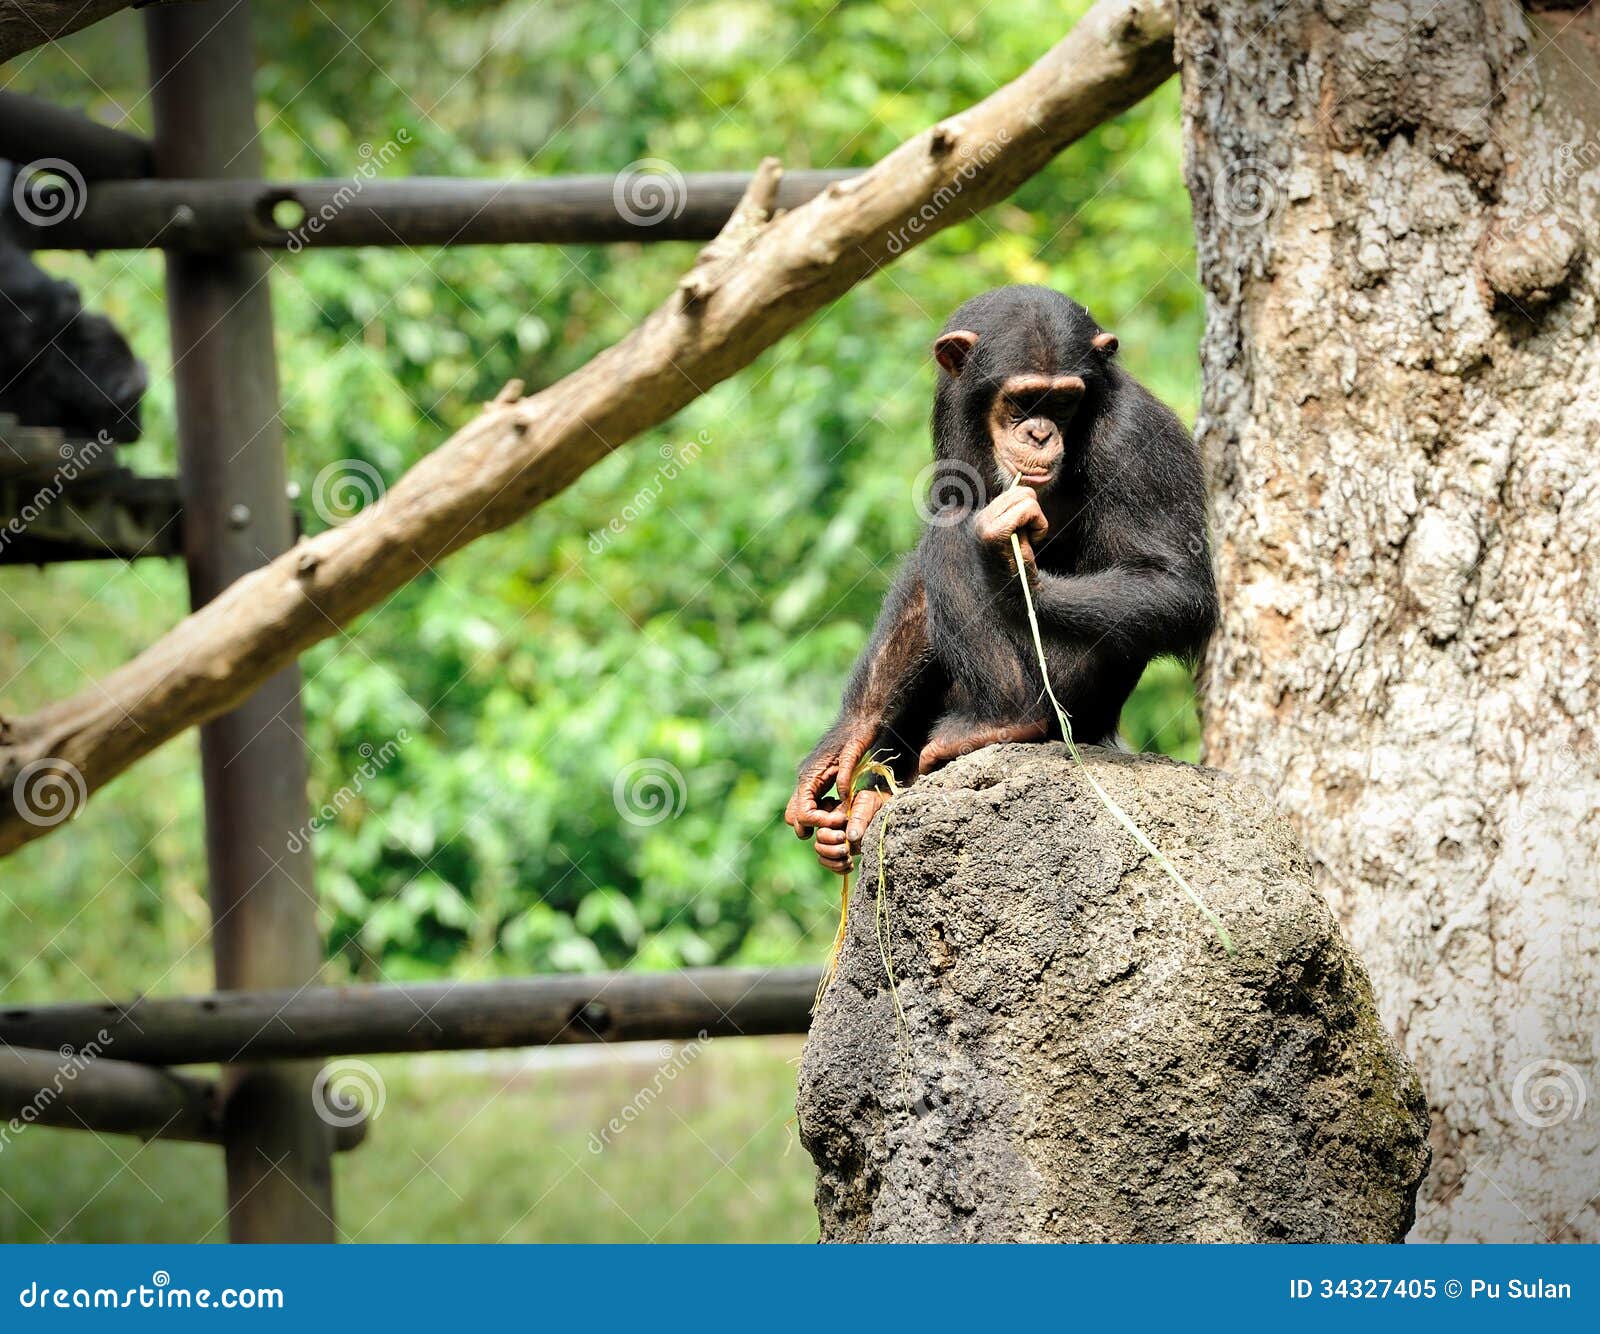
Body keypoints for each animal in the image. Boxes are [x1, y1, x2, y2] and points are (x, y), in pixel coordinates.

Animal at [785, 285, 1216, 874]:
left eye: (1062, 402)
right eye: (1024, 400)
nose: (1039, 431)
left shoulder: (1138, 437)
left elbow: (1177, 584)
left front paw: (1008, 562)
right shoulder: (950, 408)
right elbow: (940, 522)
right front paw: (845, 738)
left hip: (1068, 696)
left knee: (952, 538)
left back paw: (1001, 721)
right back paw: (864, 808)